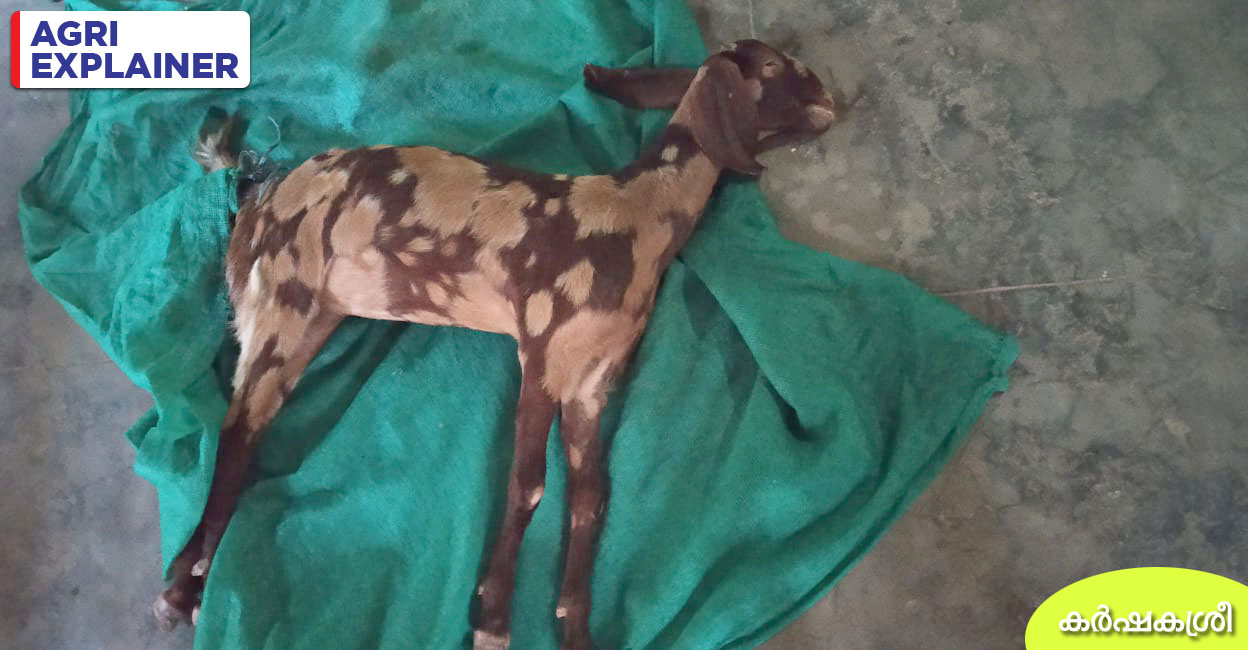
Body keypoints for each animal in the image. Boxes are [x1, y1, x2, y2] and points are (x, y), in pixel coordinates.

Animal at [153, 40, 839, 650]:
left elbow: (591, 497)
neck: (634, 215)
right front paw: (493, 619)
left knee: (248, 434)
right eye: (771, 66)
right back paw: (180, 595)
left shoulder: (591, 380)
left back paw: (189, 580)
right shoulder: (542, 348)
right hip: (283, 301)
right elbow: (529, 483)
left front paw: (575, 629)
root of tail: (255, 198)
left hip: (315, 315)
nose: (830, 101)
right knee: (238, 433)